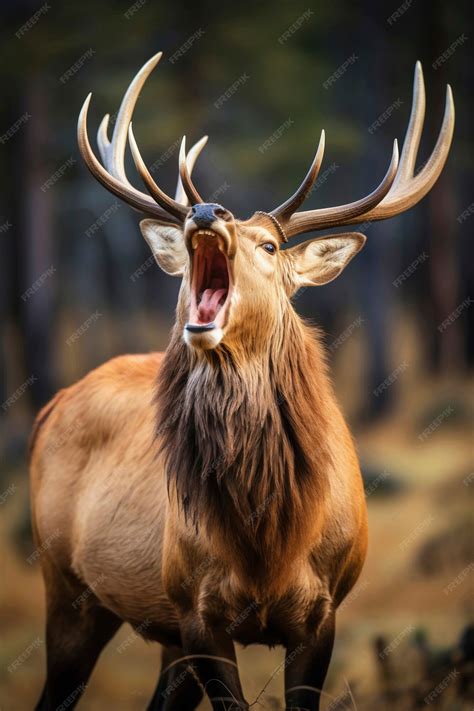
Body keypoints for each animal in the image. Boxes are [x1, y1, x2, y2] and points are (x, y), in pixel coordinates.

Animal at [30, 52, 454, 711]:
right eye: (189, 234)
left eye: (272, 244)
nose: (206, 211)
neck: (268, 542)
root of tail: (52, 405)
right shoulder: (197, 611)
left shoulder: (323, 612)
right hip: (67, 584)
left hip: (150, 628)